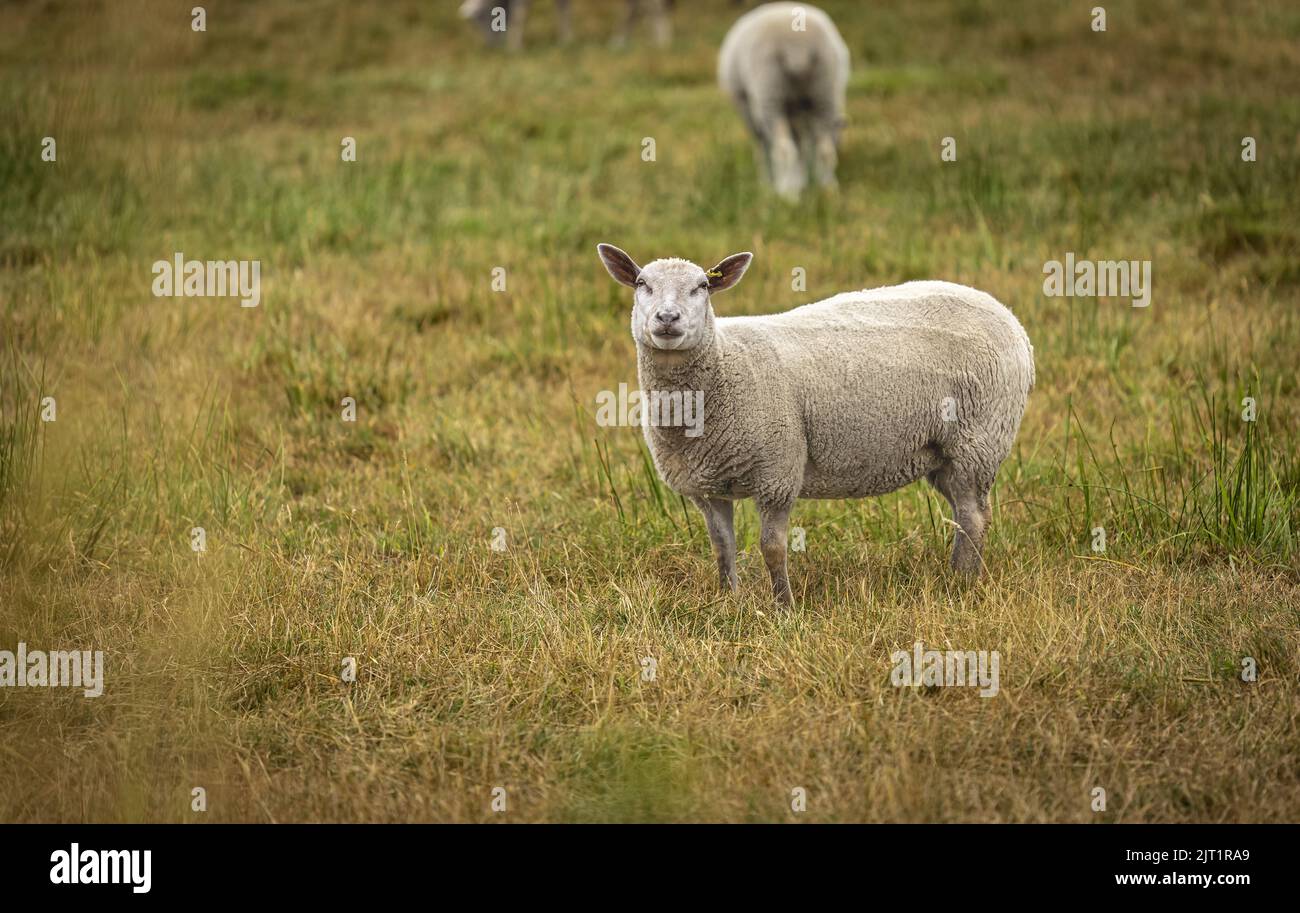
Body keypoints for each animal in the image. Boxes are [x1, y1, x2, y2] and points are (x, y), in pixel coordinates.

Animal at [595, 243, 1035, 606]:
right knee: (965, 514)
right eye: (641, 283)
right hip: (944, 453)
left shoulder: (777, 473)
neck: (725, 365)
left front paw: (783, 608)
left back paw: (963, 583)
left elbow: (772, 548)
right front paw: (727, 602)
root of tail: (1010, 319)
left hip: (979, 439)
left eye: (702, 286)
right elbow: (722, 547)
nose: (667, 318)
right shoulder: (707, 486)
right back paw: (958, 574)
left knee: (974, 517)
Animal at [718, 2, 850, 199]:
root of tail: (797, 47)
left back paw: (787, 195)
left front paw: (769, 184)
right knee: (824, 149)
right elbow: (801, 144)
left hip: (769, 93)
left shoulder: (747, 107)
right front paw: (801, 180)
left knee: (782, 148)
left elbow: (764, 147)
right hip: (824, 92)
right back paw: (827, 190)